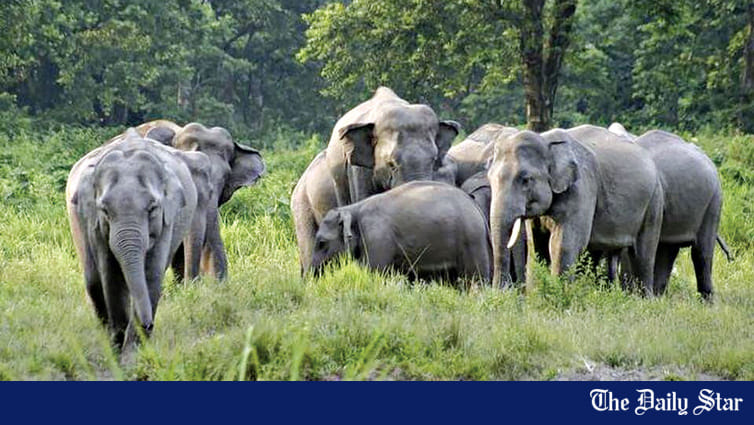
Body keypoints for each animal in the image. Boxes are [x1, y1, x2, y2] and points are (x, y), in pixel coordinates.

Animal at [66, 130, 203, 350]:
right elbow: (110, 274)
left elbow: (152, 273)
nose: (148, 325)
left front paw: (134, 349)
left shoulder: (167, 219)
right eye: (105, 210)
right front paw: (118, 344)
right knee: (92, 280)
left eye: (152, 208)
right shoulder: (94, 224)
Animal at [310, 181, 491, 283]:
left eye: (321, 243)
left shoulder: (377, 236)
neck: (353, 208)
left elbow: (374, 272)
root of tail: (475, 207)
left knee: (474, 281)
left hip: (472, 240)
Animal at [487, 125, 664, 295]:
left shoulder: (580, 189)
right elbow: (536, 245)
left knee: (643, 254)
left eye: (526, 180)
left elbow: (562, 244)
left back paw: (644, 298)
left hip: (654, 202)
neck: (546, 140)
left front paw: (558, 294)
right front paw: (538, 295)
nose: (501, 292)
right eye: (490, 178)